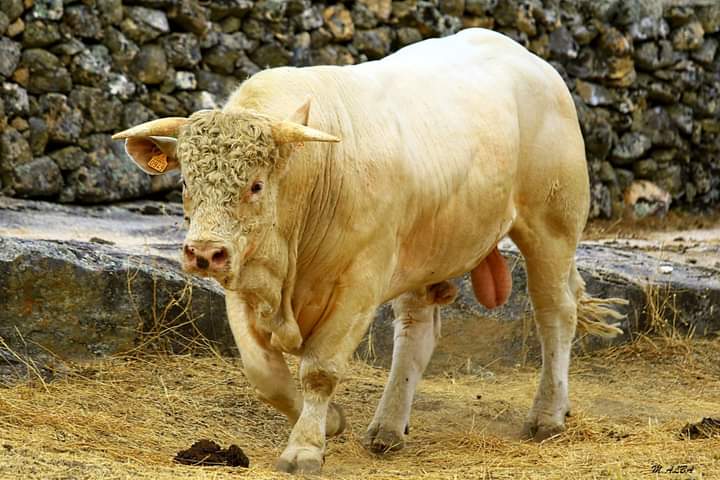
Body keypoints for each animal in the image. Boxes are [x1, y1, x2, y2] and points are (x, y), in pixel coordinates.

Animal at [112, 28, 625, 474]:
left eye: (255, 185)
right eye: (185, 184)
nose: (204, 253)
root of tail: (531, 62)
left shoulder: (359, 281)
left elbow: (320, 369)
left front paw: (304, 448)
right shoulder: (244, 275)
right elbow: (263, 372)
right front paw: (332, 421)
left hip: (551, 227)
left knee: (556, 314)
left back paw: (547, 415)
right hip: (426, 249)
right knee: (417, 331)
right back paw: (388, 428)